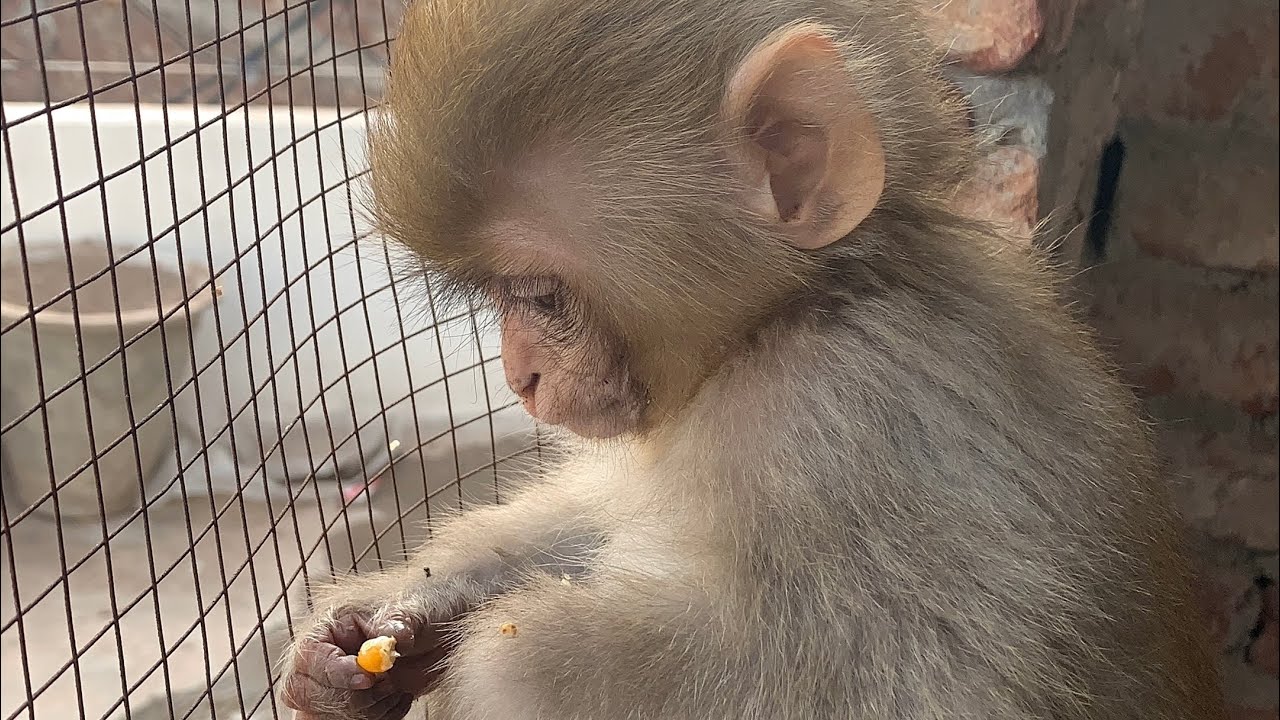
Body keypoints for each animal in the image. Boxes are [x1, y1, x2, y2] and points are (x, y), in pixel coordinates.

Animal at [278, 0, 1228, 718]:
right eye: (506, 301)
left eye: (541, 298)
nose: (523, 376)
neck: (785, 320)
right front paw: (391, 622)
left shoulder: (832, 422)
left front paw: (494, 660)